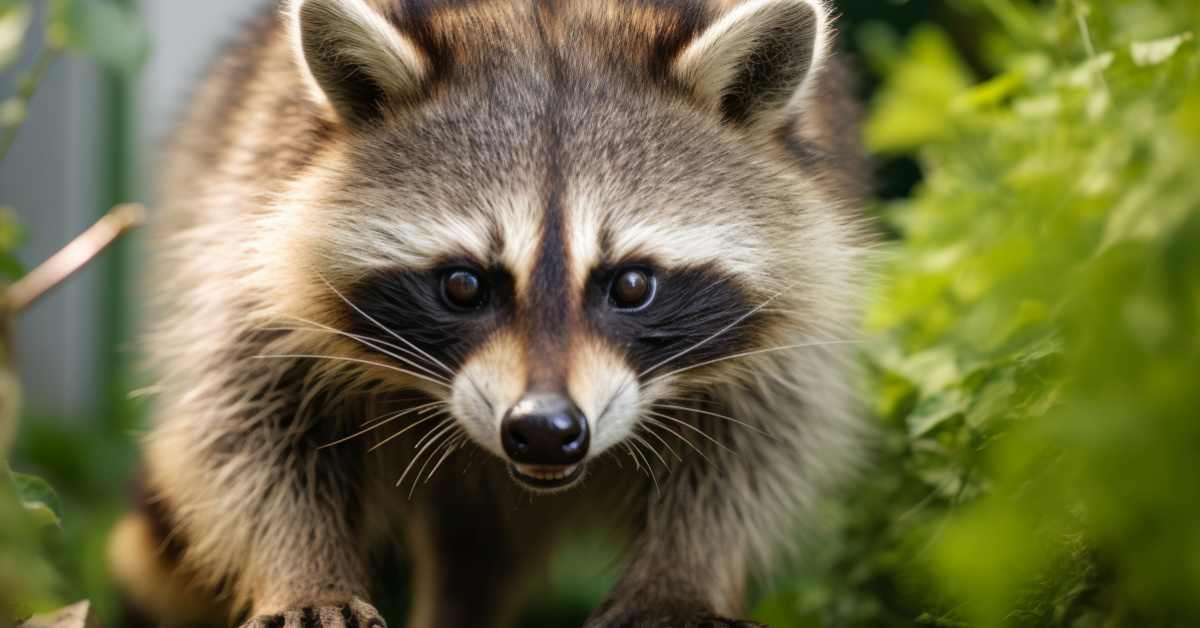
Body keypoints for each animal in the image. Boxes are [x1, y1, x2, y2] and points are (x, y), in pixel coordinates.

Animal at [109, 0, 869, 626]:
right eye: (464, 286)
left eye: (631, 285)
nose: (544, 433)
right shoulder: (249, 245)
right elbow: (251, 434)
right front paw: (305, 572)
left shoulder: (793, 322)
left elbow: (749, 454)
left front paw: (680, 581)